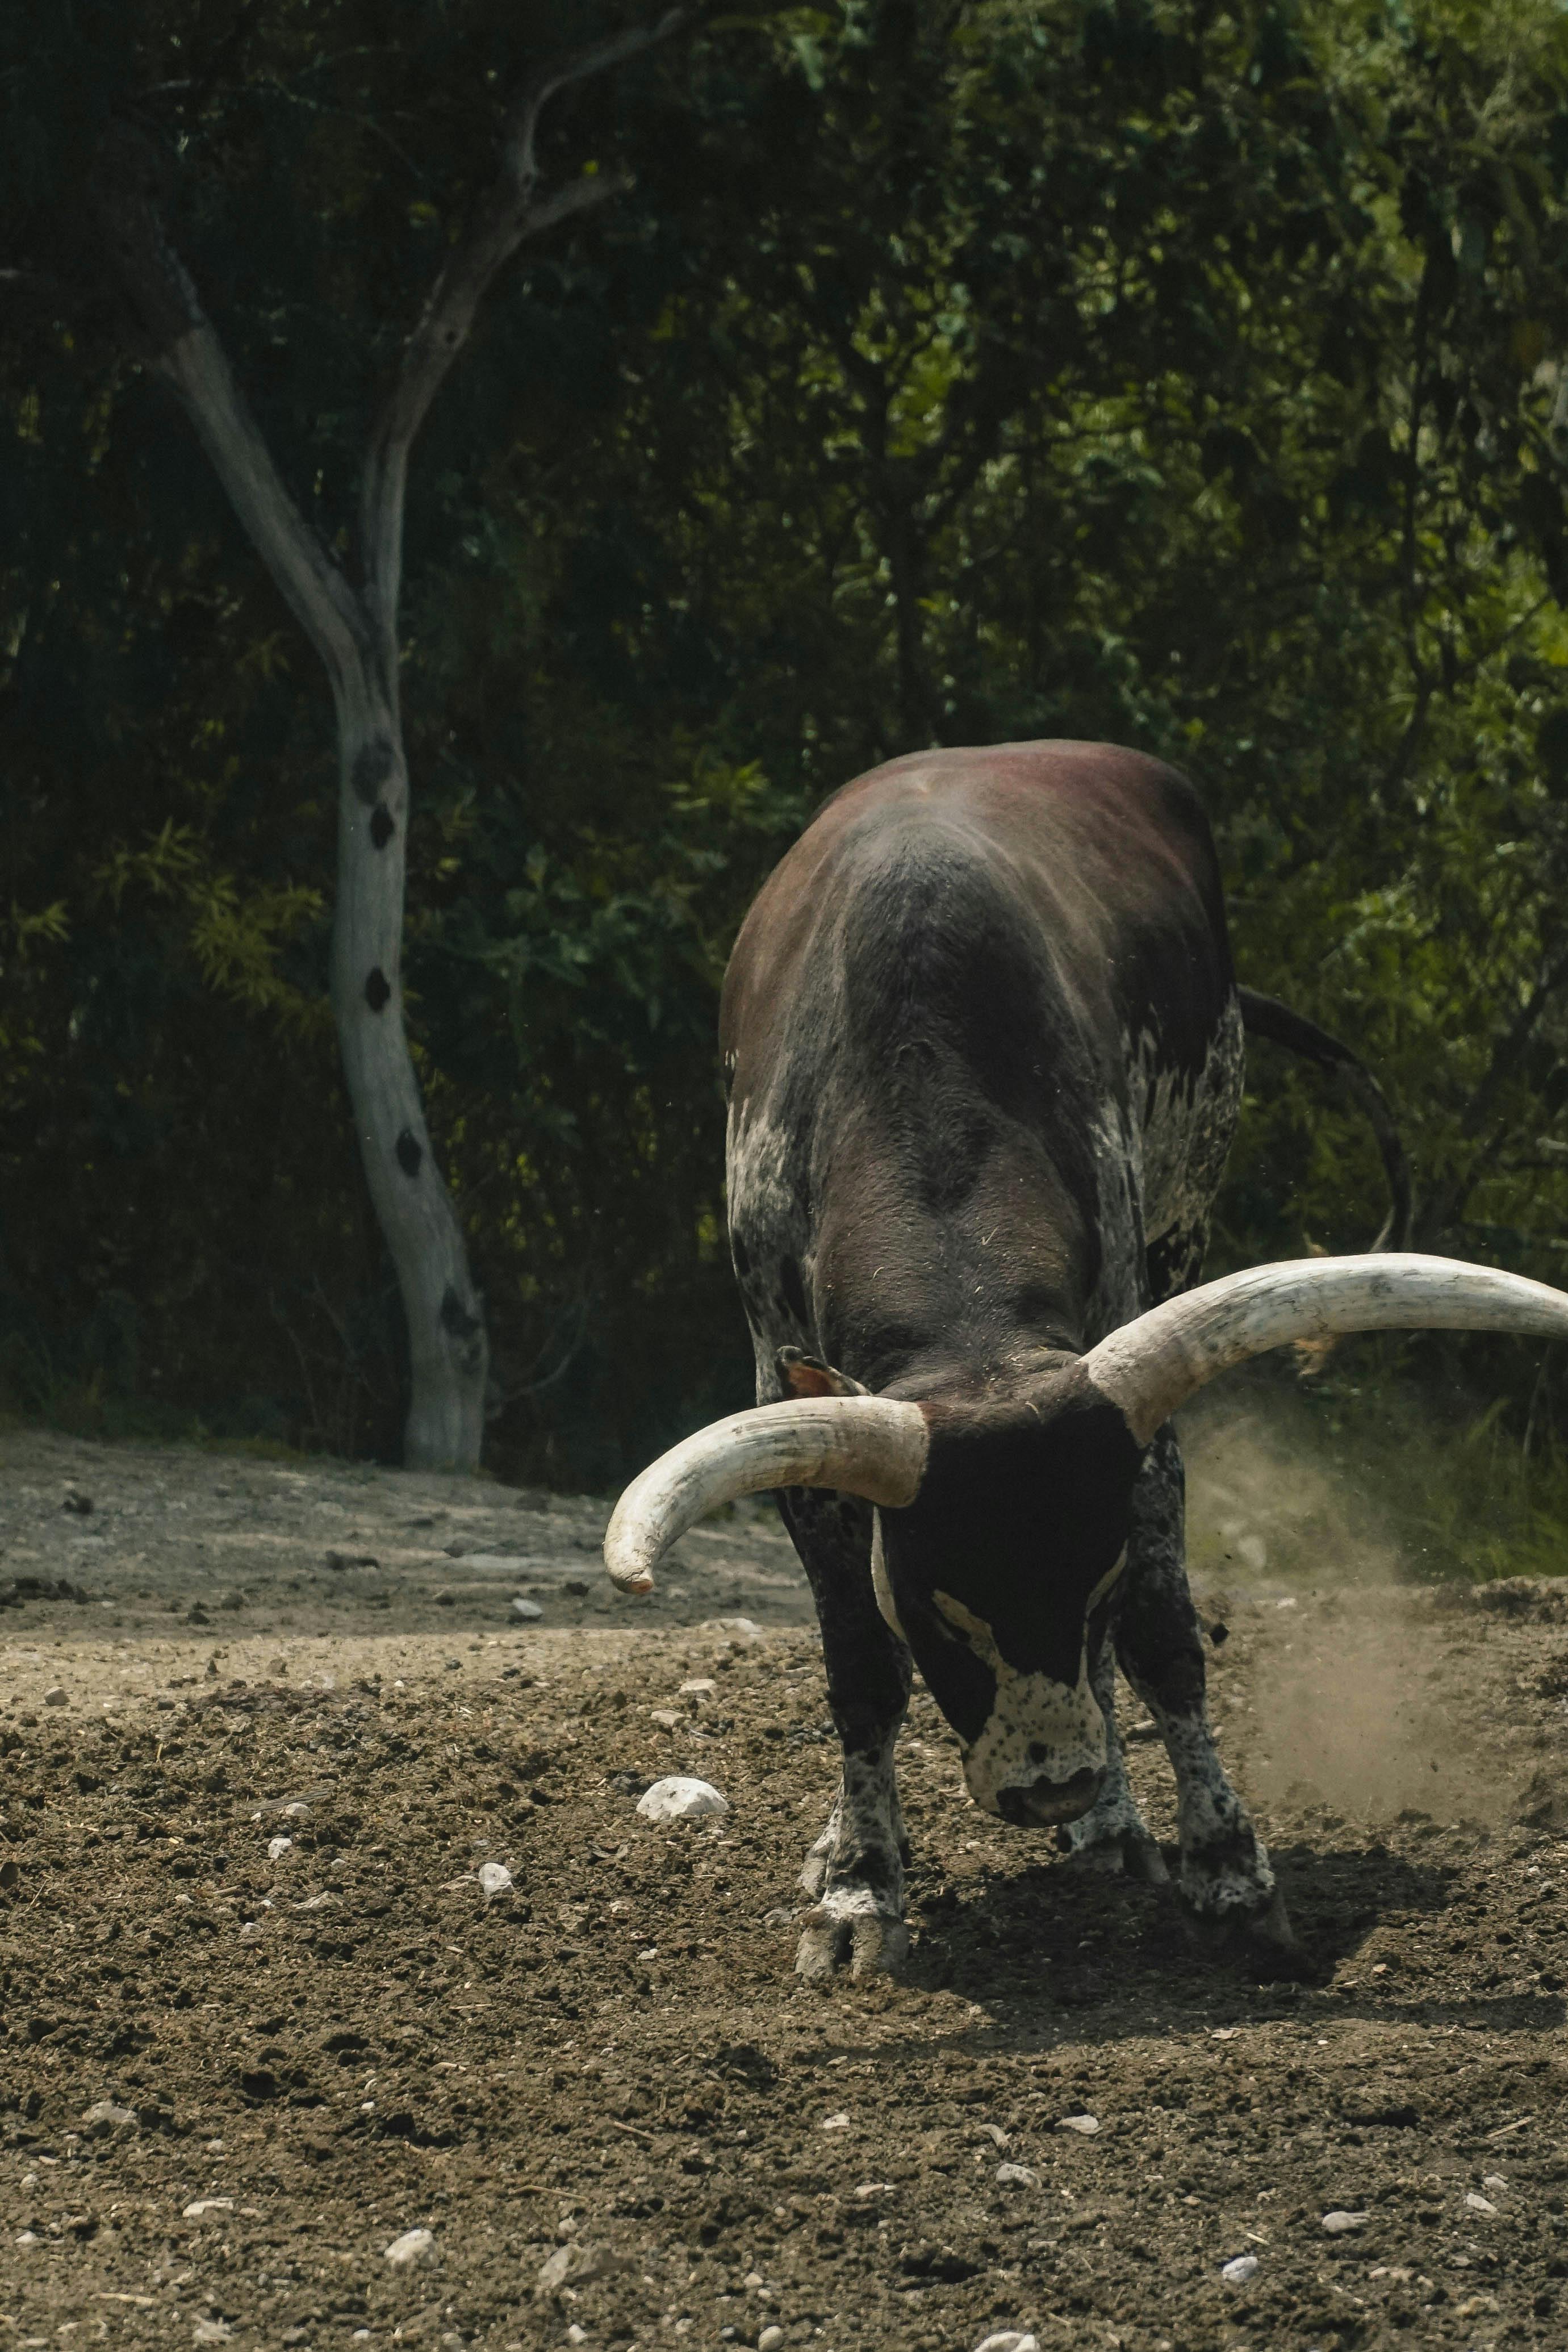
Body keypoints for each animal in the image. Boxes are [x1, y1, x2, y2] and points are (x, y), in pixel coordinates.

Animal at [604, 741, 1568, 1979]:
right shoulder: (791, 1409)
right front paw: (861, 1886)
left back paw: (1118, 1826)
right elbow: (858, 1670)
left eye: (1096, 1584)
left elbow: (1164, 1639)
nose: (1052, 1786)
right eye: (940, 1612)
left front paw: (1226, 1871)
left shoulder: (1133, 1424)